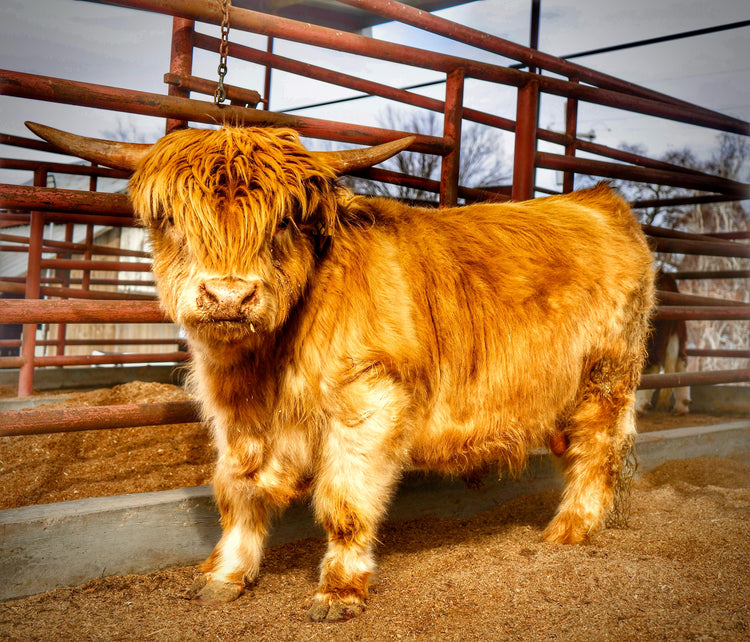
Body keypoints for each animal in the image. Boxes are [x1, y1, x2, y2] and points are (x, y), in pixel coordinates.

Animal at [27, 122, 656, 622]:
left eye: (283, 222)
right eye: (175, 220)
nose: (229, 296)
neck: (262, 371)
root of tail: (600, 199)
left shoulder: (367, 402)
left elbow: (345, 501)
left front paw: (339, 591)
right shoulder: (233, 420)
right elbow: (237, 491)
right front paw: (226, 575)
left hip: (605, 376)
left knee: (597, 452)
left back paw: (568, 532)